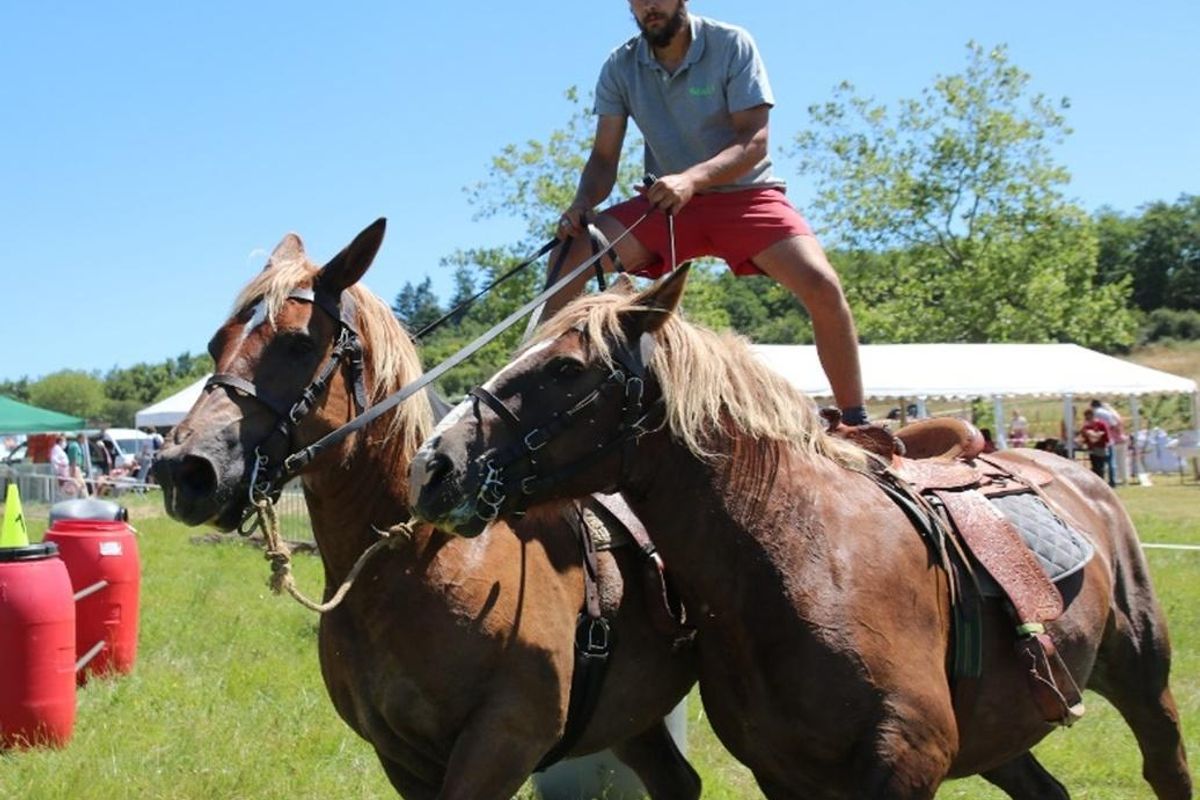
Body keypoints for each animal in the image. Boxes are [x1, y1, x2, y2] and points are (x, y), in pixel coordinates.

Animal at [151, 220, 700, 799]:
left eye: (298, 342)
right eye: (216, 344)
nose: (183, 468)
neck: (421, 560)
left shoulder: (502, 744)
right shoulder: (399, 755)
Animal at [407, 264, 1192, 799]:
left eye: (567, 367)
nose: (433, 465)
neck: (798, 563)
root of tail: (1079, 475)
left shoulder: (905, 765)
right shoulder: (784, 773)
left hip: (1143, 679)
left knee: (1167, 765)